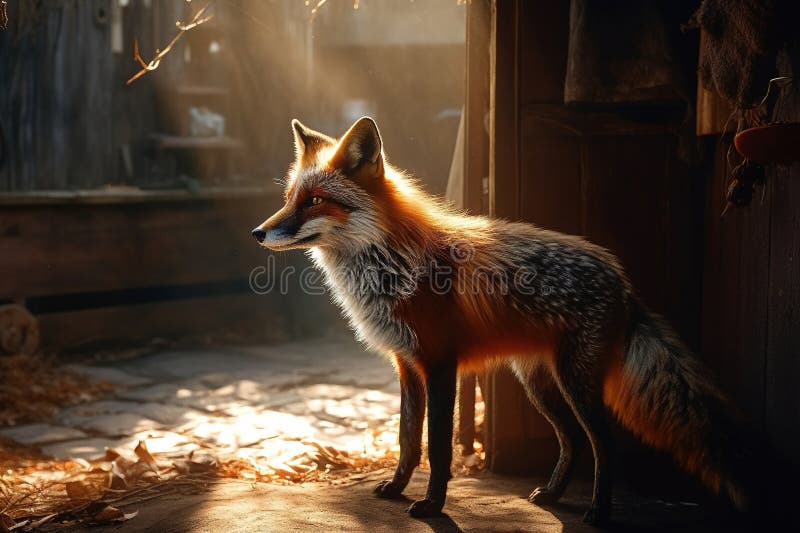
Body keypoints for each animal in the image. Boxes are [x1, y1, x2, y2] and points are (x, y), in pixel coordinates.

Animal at [252, 117, 759, 525]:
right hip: (539, 382)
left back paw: (599, 511)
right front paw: (396, 489)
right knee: (573, 440)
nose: (258, 232)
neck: (391, 263)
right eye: (290, 198)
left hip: (576, 381)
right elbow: (408, 439)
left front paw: (432, 506)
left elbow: (438, 447)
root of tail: (623, 280)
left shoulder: (440, 364)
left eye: (315, 200)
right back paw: (551, 494)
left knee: (604, 443)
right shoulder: (406, 365)